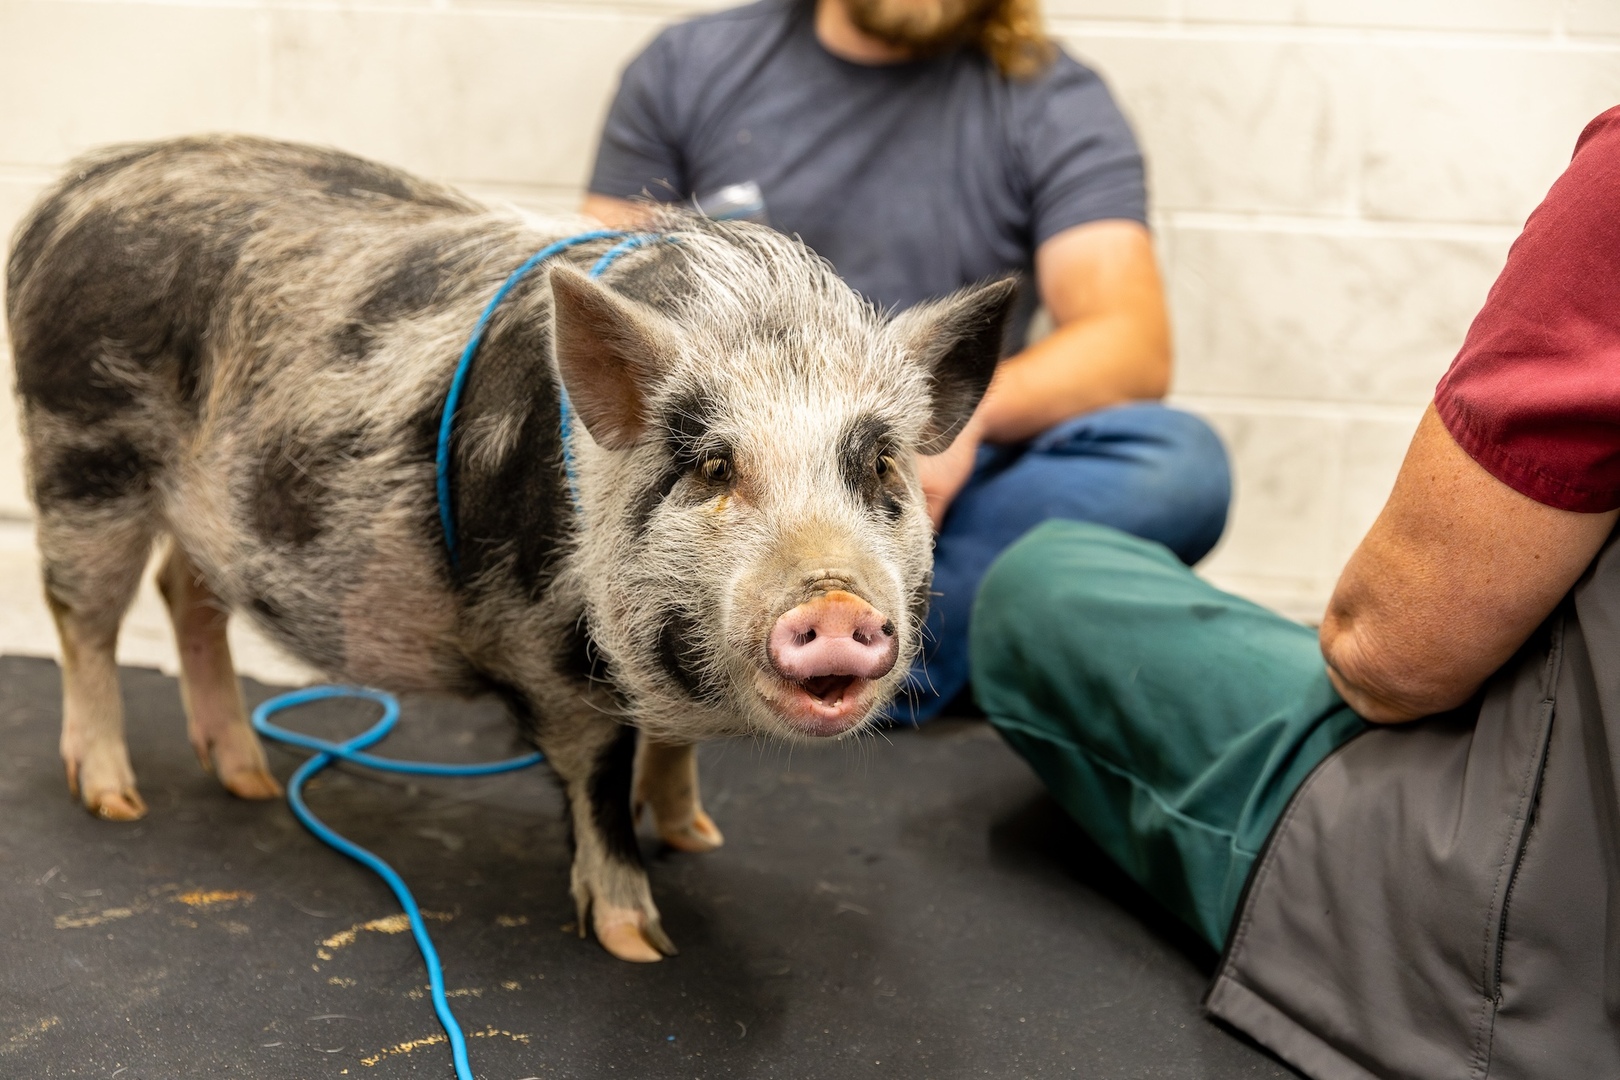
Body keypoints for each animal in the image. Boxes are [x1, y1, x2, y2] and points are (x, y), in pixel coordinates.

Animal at [5, 135, 1015, 962]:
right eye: (711, 465)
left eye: (879, 464)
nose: (836, 604)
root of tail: (67, 196)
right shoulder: (545, 648)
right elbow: (597, 775)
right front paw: (640, 943)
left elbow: (670, 747)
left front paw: (697, 836)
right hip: (83, 454)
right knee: (82, 617)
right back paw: (115, 798)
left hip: (205, 506)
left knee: (186, 594)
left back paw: (250, 782)